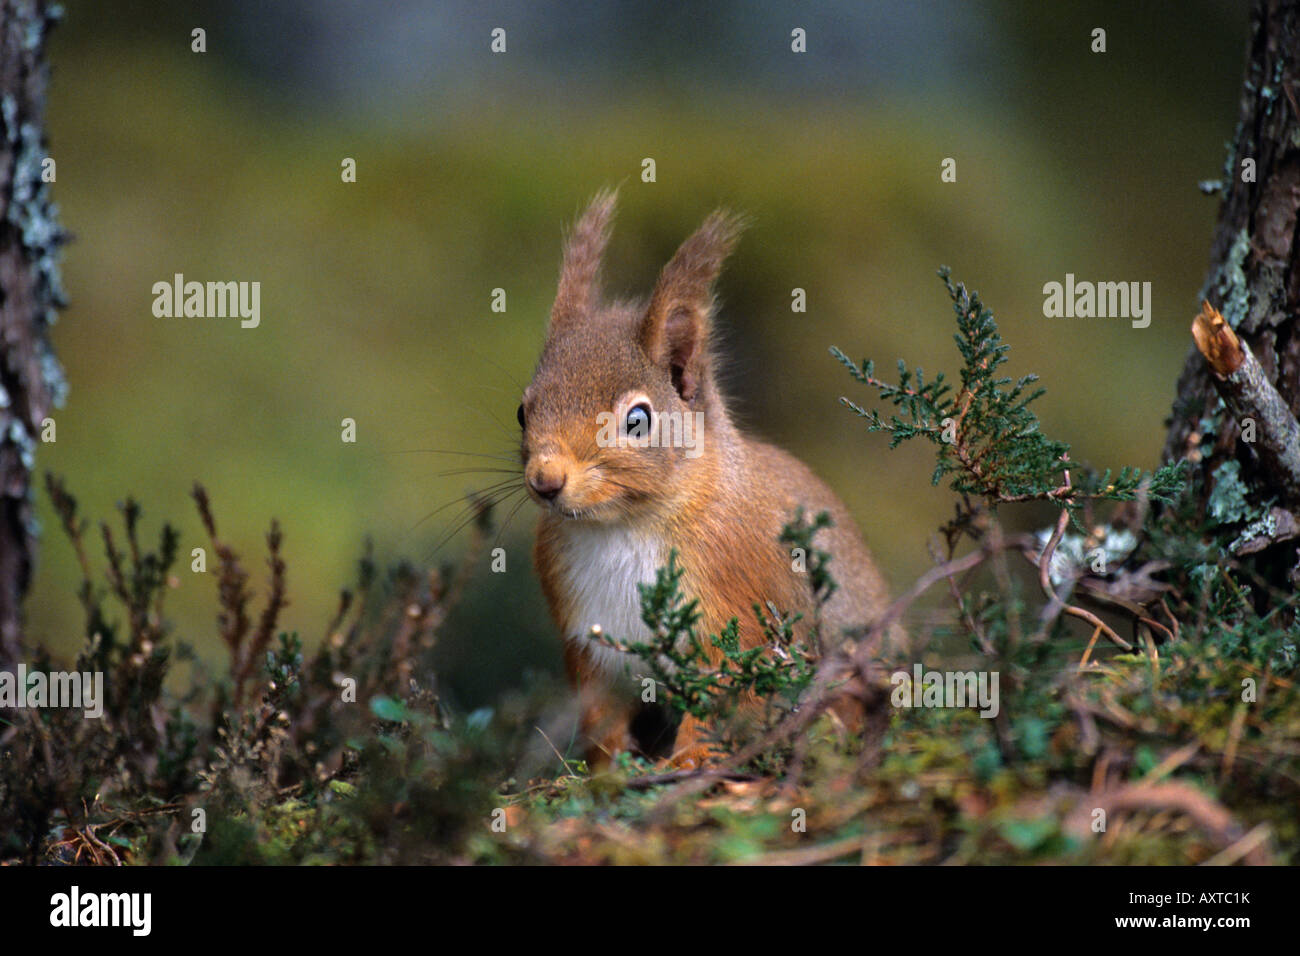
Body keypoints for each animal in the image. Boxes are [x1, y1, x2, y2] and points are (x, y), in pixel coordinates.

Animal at [520, 189, 897, 768]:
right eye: (522, 411)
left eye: (637, 420)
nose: (545, 479)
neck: (624, 527)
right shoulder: (587, 641)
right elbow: (601, 713)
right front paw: (605, 767)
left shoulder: (738, 618)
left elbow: (726, 700)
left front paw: (691, 759)